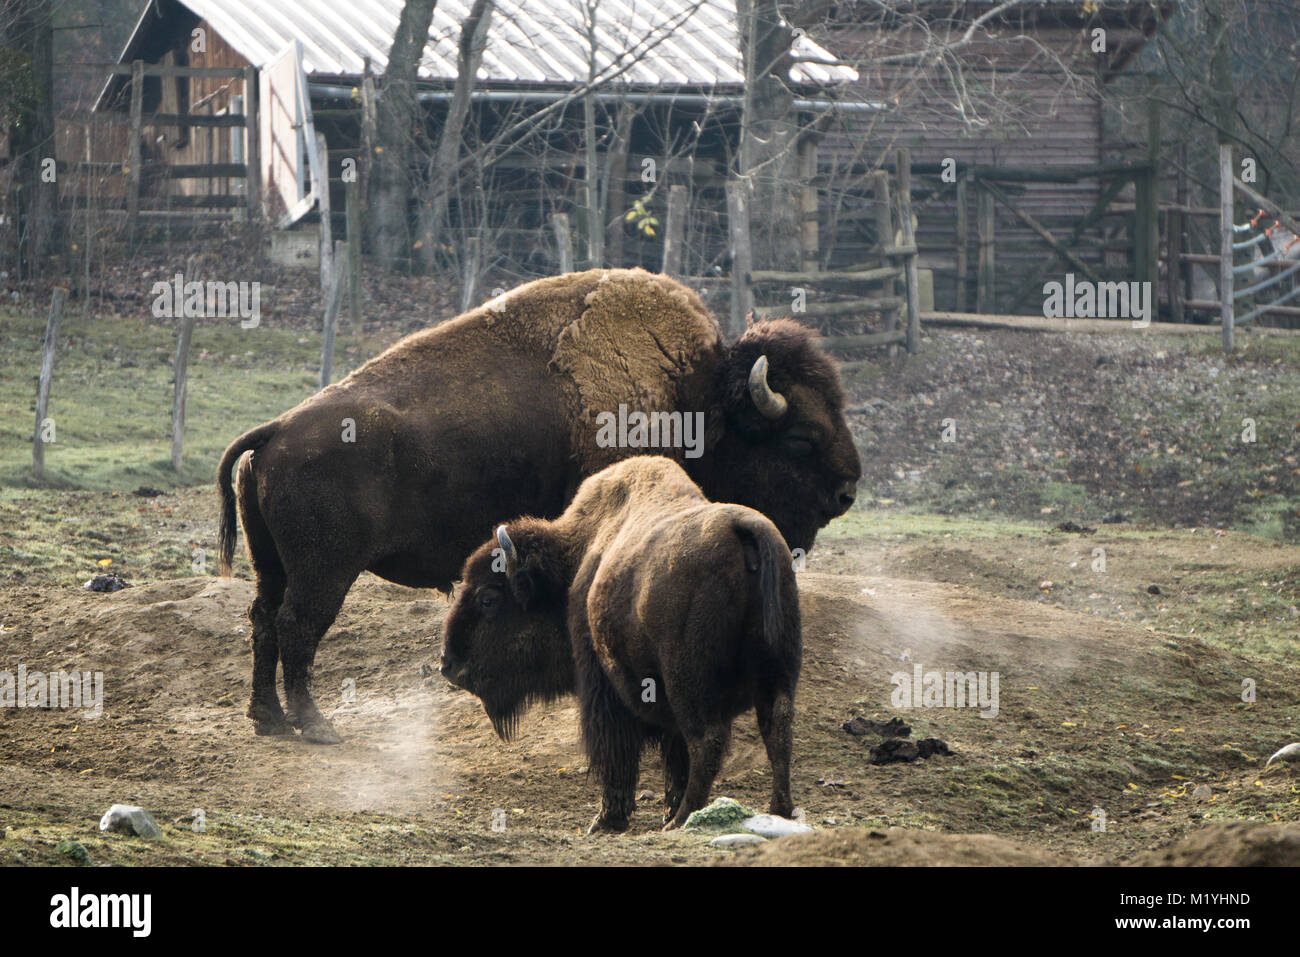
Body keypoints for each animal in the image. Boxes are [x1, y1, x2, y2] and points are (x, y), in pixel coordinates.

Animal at [217, 268, 858, 743]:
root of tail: (276, 431)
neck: (696, 395)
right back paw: (315, 725)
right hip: (324, 570)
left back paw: (268, 720)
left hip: (271, 563)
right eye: (801, 438)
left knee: (263, 619)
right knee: (297, 625)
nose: (847, 492)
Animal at [440, 456, 801, 832]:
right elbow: (673, 757)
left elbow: (616, 749)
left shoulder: (601, 684)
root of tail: (743, 528)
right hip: (778, 672)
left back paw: (683, 820)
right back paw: (777, 810)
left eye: (488, 599)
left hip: (688, 683)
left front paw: (606, 820)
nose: (448, 664)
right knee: (777, 728)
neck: (576, 556)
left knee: (707, 741)